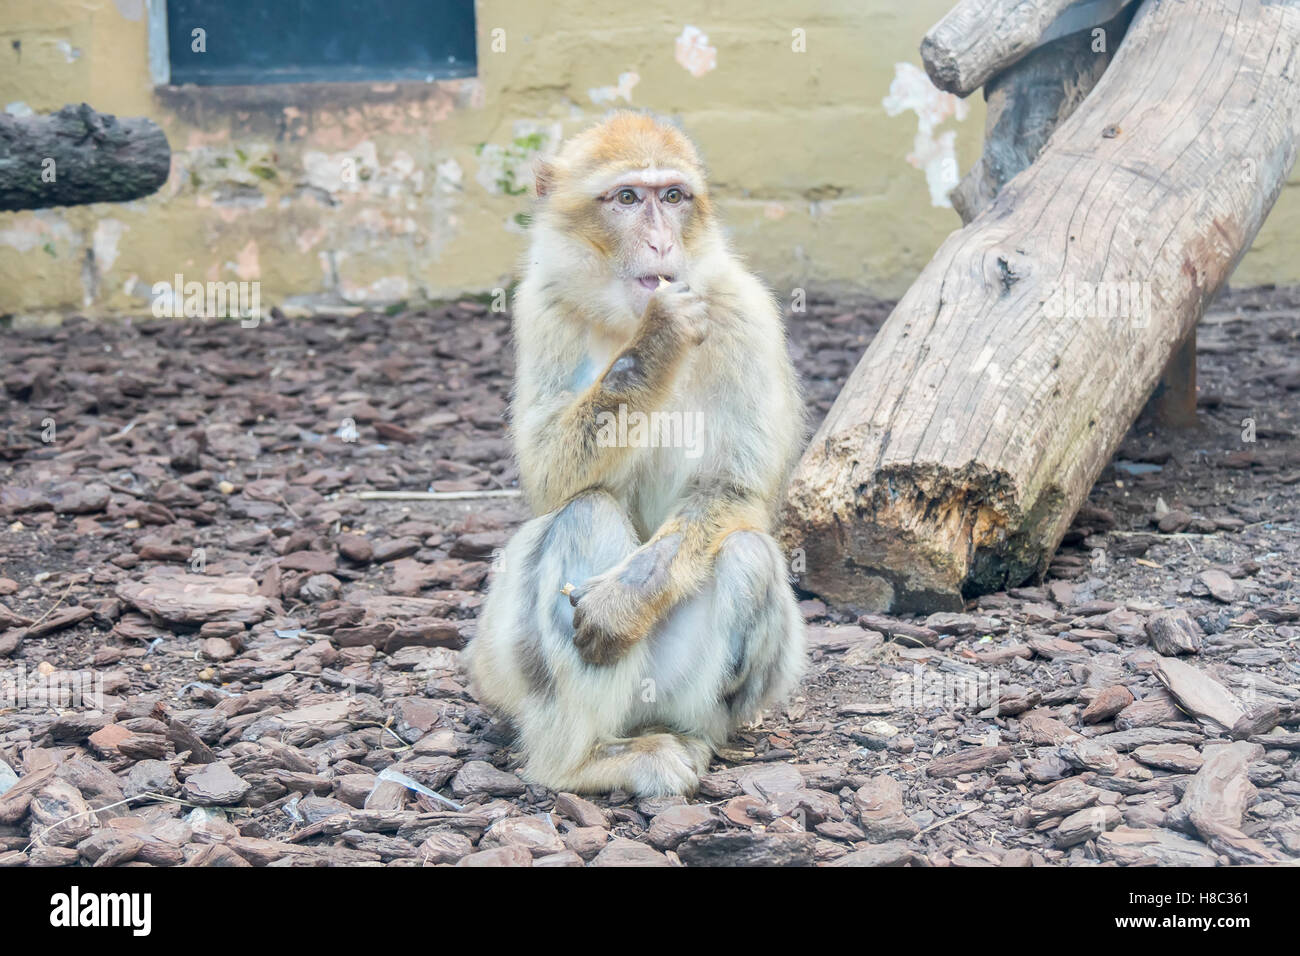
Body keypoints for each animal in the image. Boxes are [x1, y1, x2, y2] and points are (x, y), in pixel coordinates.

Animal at [463, 111, 806, 797]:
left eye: (672, 196)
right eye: (627, 198)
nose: (660, 245)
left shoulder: (744, 314)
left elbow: (731, 491)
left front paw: (622, 604)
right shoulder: (542, 307)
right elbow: (549, 483)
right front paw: (658, 340)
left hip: (679, 692)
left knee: (748, 555)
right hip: (503, 668)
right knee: (586, 512)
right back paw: (581, 764)